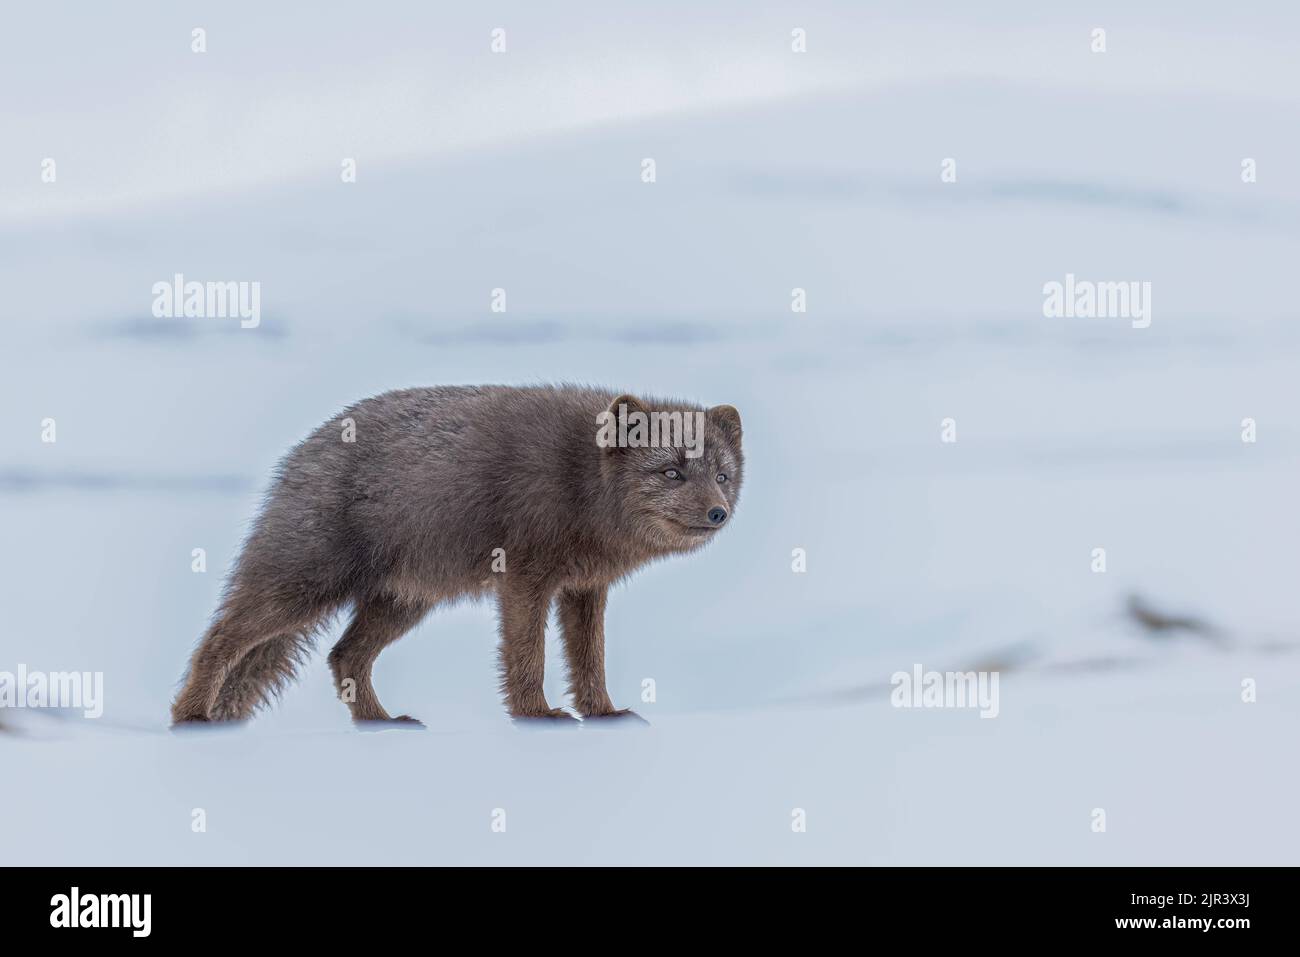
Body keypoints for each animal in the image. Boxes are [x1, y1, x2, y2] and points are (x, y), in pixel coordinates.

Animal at [170, 385, 743, 727]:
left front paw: (603, 714)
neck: (580, 478)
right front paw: (537, 715)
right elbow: (527, 656)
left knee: (343, 655)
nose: (718, 513)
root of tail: (298, 453)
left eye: (722, 475)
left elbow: (590, 659)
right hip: (307, 581)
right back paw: (193, 717)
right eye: (671, 471)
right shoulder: (524, 577)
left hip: (403, 600)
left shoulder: (584, 586)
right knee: (219, 639)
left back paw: (381, 724)